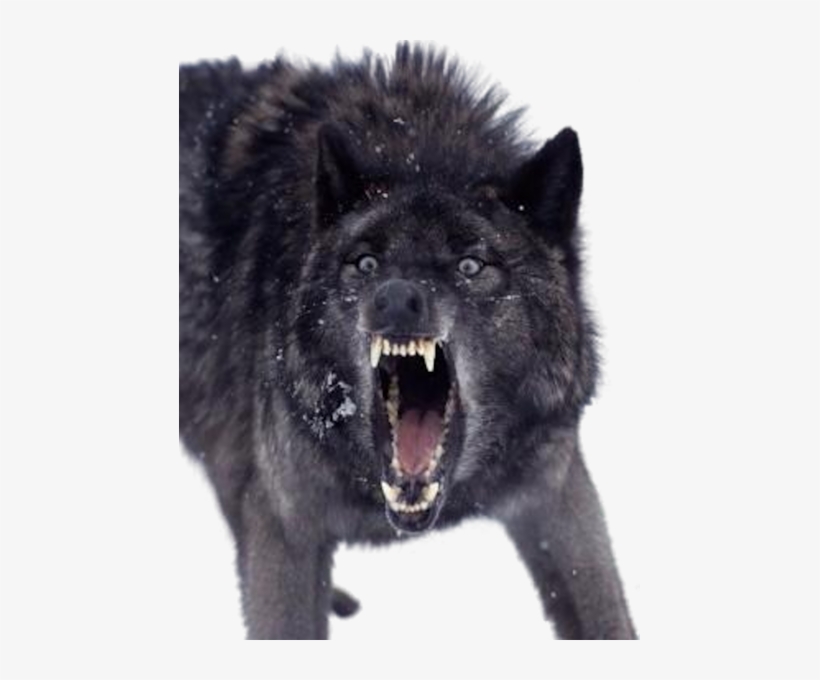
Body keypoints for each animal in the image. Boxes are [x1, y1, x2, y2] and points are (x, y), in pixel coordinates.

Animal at [179, 43, 636, 639]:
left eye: (470, 265)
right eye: (366, 263)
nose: (395, 298)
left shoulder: (557, 493)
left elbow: (609, 617)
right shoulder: (287, 527)